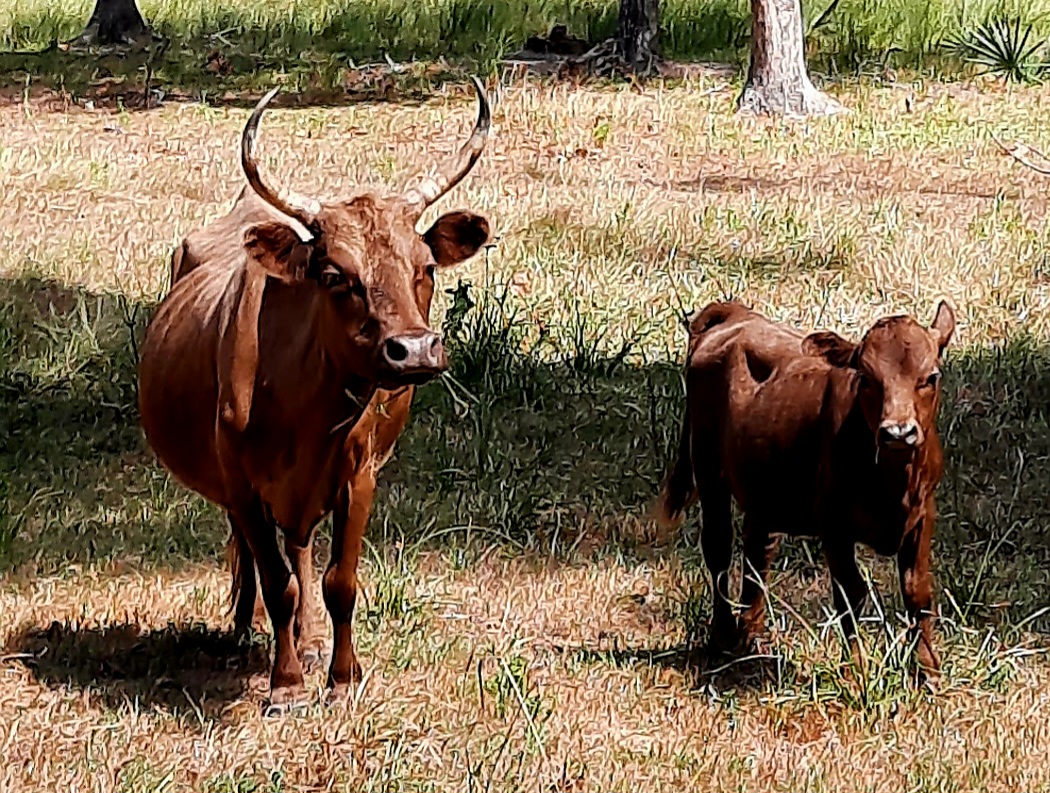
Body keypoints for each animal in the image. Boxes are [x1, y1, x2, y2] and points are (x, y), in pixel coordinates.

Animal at [138, 78, 492, 712]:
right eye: (333, 275)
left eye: (426, 266)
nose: (414, 350)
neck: (305, 412)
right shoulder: (241, 480)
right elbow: (276, 580)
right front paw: (284, 684)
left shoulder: (360, 473)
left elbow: (338, 581)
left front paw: (341, 675)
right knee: (254, 553)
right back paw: (245, 626)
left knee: (300, 548)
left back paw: (304, 640)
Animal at [655, 299, 956, 680]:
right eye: (866, 379)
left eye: (931, 377)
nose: (898, 432)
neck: (893, 483)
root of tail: (739, 314)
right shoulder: (834, 521)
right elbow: (850, 593)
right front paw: (855, 671)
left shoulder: (923, 513)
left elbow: (918, 590)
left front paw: (926, 669)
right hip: (707, 465)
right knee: (718, 547)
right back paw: (722, 635)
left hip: (762, 481)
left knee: (758, 549)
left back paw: (749, 634)